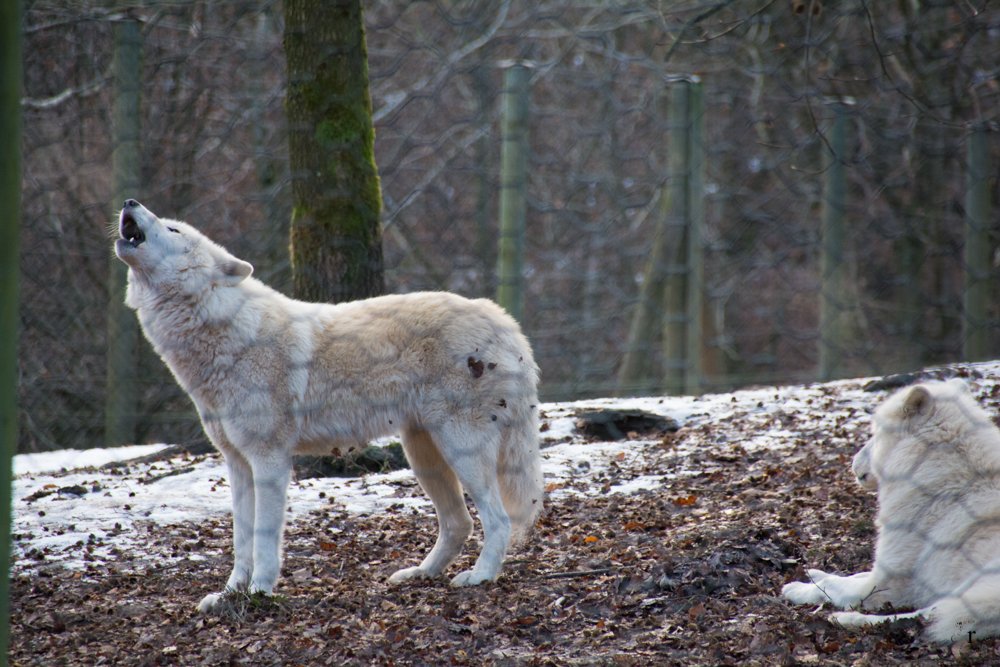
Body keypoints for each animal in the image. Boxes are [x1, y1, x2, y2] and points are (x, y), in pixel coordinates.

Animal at [113, 200, 544, 613]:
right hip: (423, 454)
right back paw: (420, 573)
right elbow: (241, 541)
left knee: (499, 520)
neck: (224, 332)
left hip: (461, 450)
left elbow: (264, 541)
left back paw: (480, 576)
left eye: (173, 229)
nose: (129, 202)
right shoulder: (236, 463)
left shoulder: (270, 461)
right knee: (459, 524)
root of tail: (507, 323)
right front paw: (230, 595)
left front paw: (260, 594)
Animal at [782, 379, 1000, 643]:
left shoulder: (883, 583)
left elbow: (832, 588)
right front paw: (815, 573)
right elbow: (847, 575)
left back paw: (846, 619)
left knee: (916, 619)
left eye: (875, 435)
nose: (852, 463)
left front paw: (797, 589)